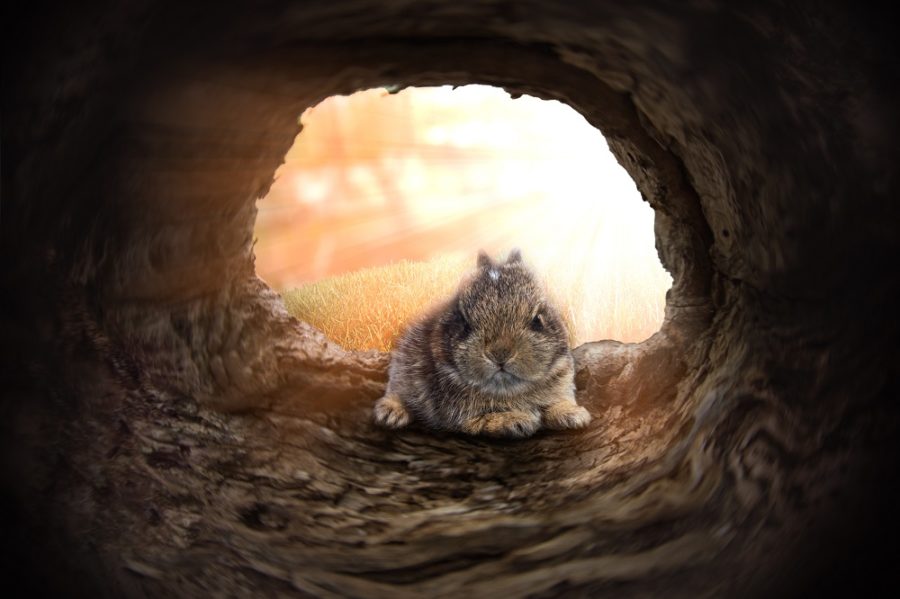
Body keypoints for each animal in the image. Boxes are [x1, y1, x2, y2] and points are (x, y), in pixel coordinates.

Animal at [373, 249, 591, 438]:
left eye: (537, 320)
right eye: (464, 323)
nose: (500, 353)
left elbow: (556, 404)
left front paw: (575, 415)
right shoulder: (462, 415)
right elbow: (483, 421)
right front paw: (517, 421)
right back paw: (391, 414)